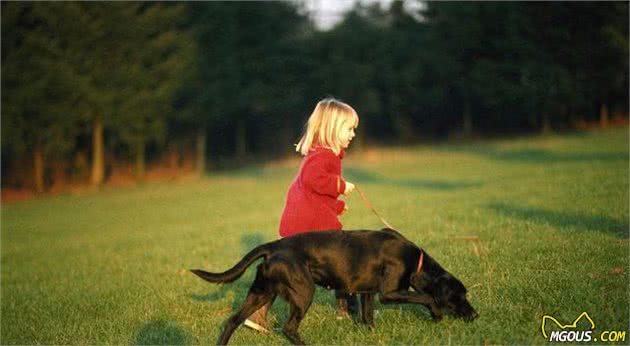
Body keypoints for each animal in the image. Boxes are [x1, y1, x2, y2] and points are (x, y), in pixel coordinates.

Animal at [191, 228, 478, 344]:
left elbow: (367, 317)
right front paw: (437, 313)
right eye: (460, 296)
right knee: (289, 328)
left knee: (232, 320)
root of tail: (272, 247)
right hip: (303, 292)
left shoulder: (367, 293)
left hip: (261, 293)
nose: (476, 315)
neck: (416, 261)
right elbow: (427, 298)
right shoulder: (388, 293)